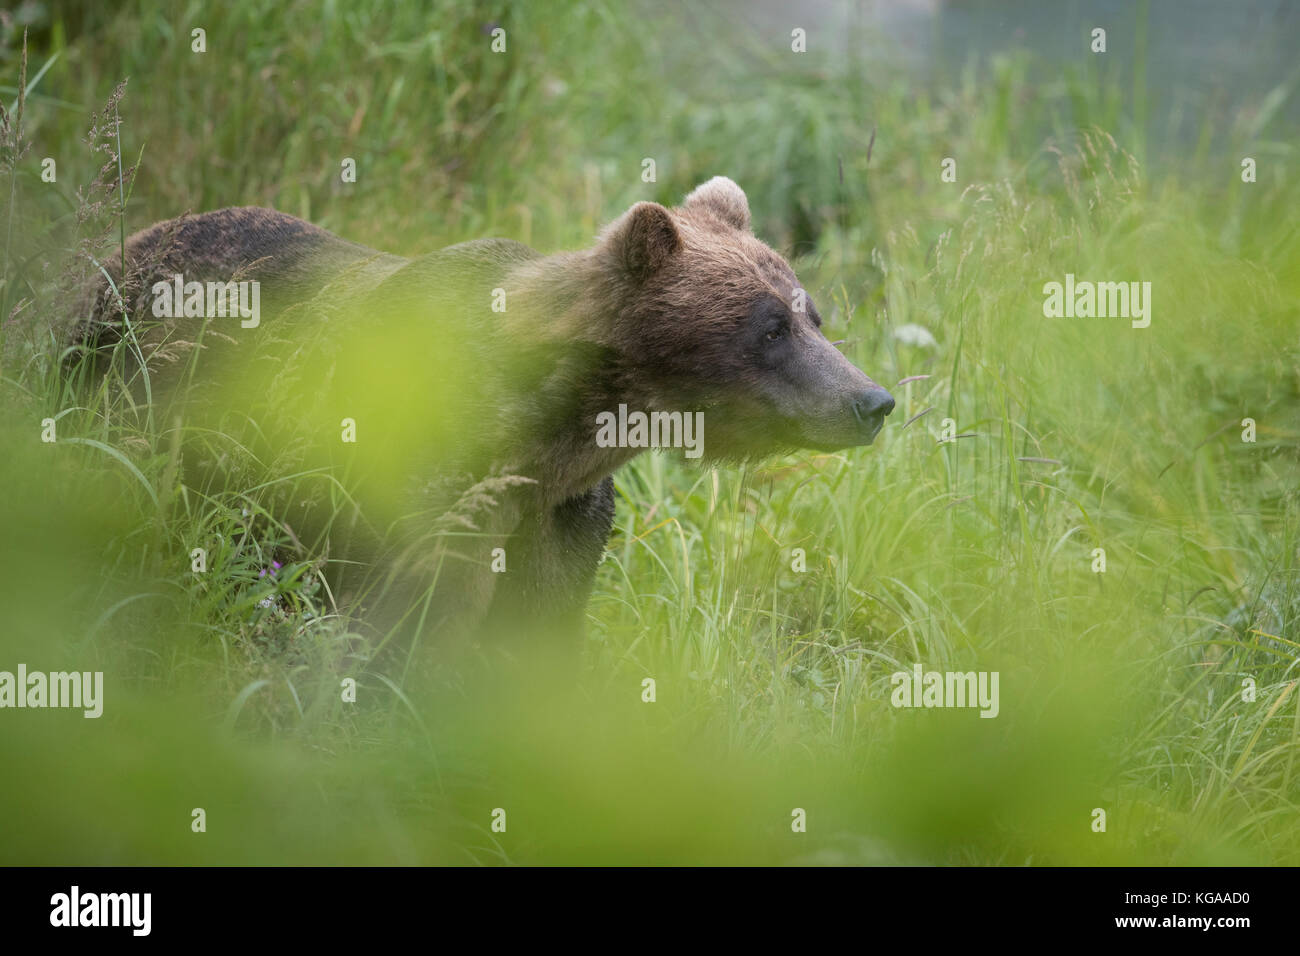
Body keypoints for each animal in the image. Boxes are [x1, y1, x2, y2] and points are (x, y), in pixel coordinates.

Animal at [75, 177, 895, 652]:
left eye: (812, 314)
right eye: (770, 327)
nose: (872, 400)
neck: (547, 430)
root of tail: (133, 239)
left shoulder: (560, 515)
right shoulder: (425, 486)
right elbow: (406, 627)